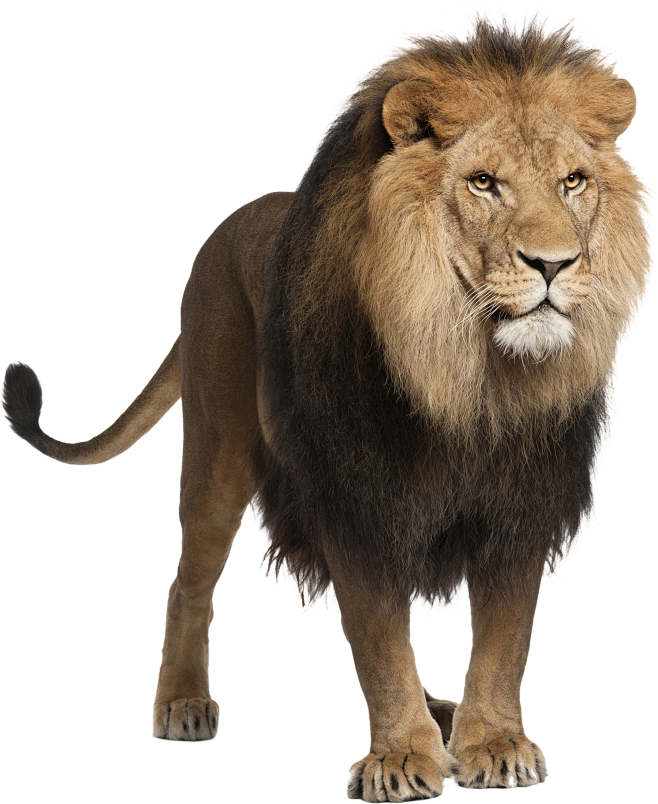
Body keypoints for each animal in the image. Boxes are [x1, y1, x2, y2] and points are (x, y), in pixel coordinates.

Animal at [1, 2, 654, 800]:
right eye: (482, 183)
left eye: (573, 181)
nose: (555, 264)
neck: (471, 377)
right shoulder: (358, 496)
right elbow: (378, 636)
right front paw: (402, 758)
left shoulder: (519, 504)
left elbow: (505, 638)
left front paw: (494, 743)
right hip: (219, 449)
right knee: (188, 581)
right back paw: (183, 703)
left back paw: (443, 708)